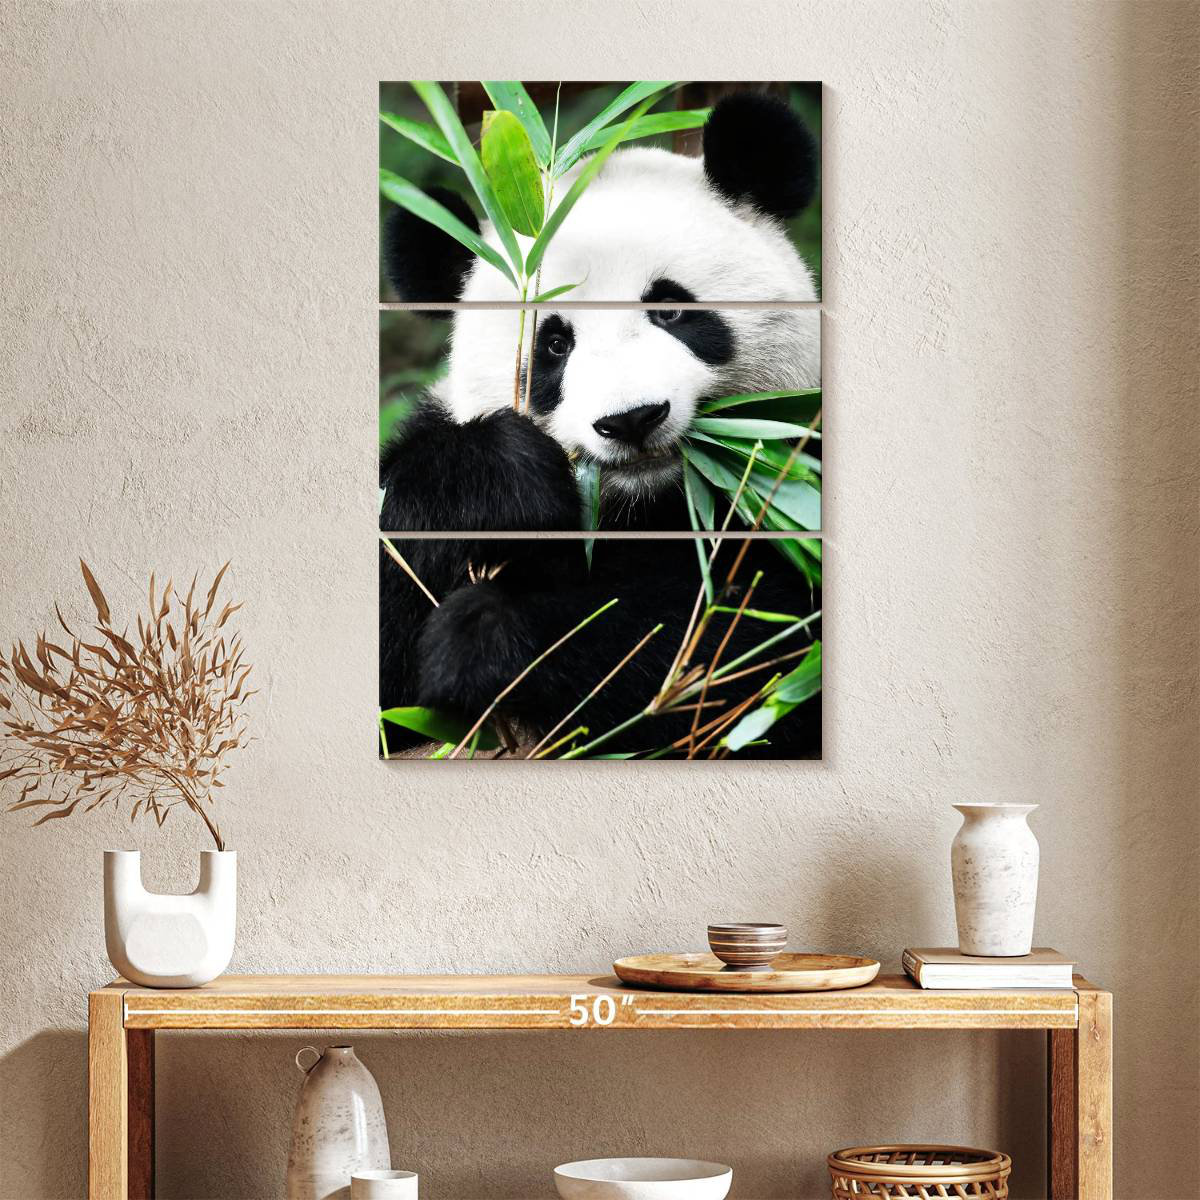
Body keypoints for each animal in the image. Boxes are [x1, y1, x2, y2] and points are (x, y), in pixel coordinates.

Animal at [379, 92, 821, 757]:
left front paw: (486, 638)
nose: (632, 419)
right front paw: (499, 482)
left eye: (671, 309)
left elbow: (754, 650)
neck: (644, 508)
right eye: (554, 344)